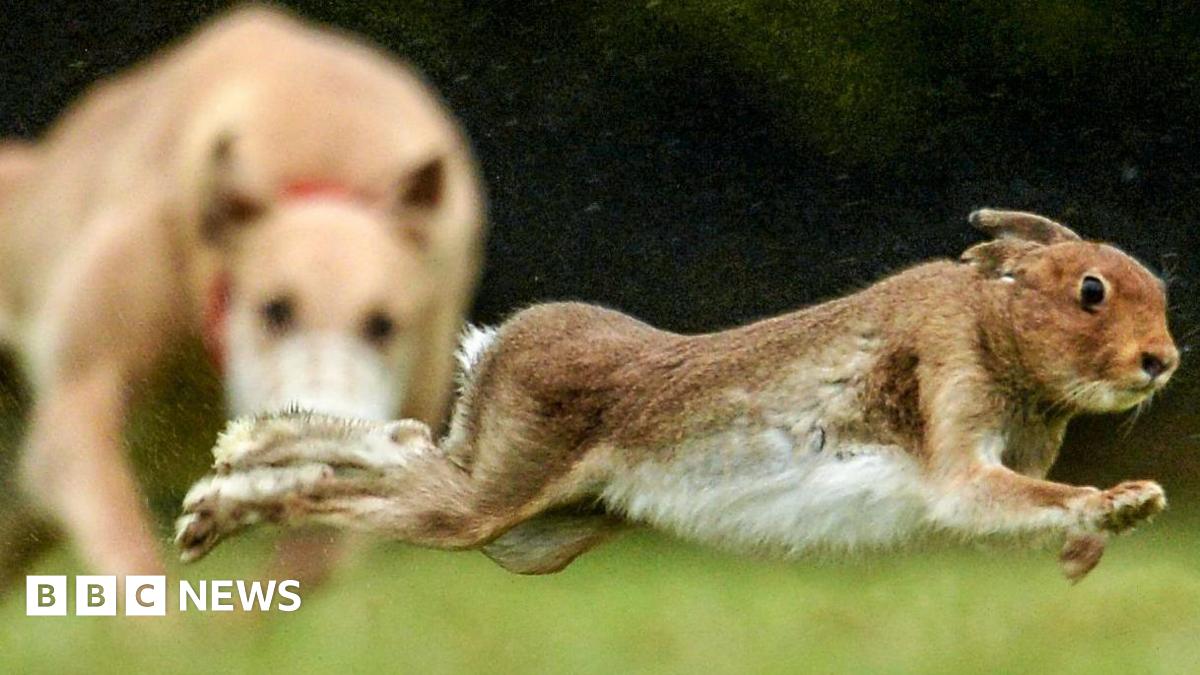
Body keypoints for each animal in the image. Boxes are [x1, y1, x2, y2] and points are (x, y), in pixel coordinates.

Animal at [175, 209, 1177, 582]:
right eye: (1091, 290)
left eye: (1159, 287)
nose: (1162, 360)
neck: (994, 325)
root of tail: (498, 346)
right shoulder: (957, 433)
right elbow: (1008, 494)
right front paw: (1125, 500)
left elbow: (1032, 499)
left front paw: (1093, 543)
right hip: (491, 498)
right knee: (365, 485)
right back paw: (212, 513)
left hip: (535, 528)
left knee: (399, 447)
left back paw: (222, 481)